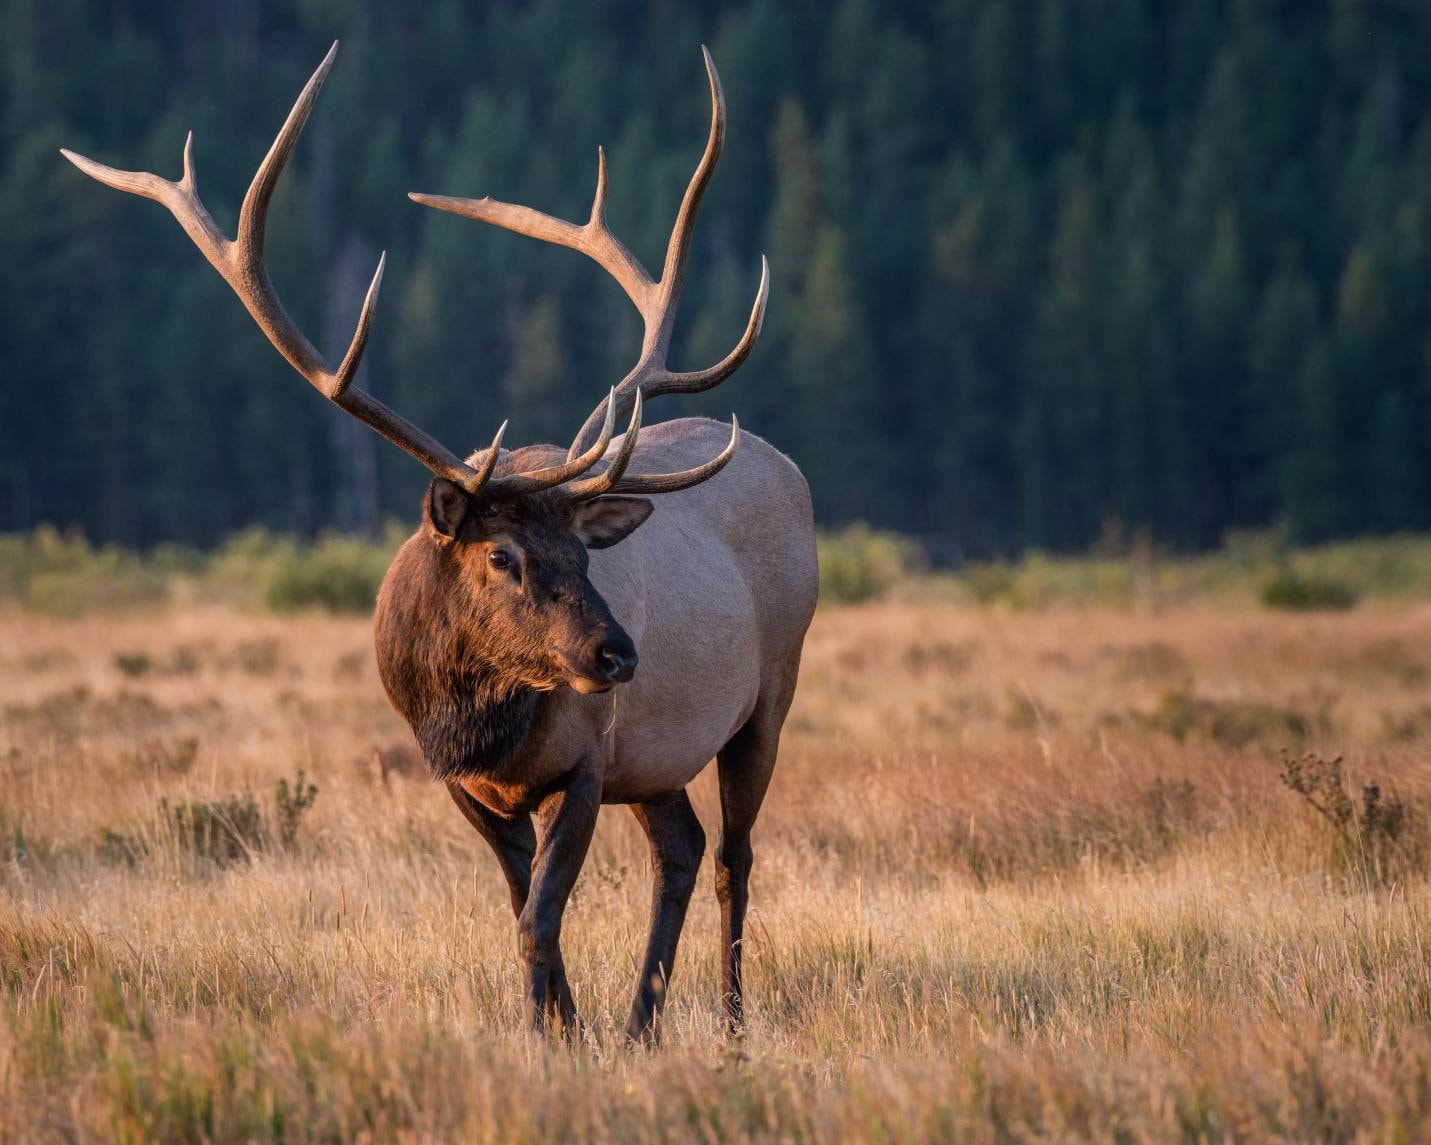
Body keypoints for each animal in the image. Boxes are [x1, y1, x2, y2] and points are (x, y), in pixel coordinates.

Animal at [62, 42, 817, 1041]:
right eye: (504, 557)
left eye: (585, 556)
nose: (616, 655)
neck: (478, 717)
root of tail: (789, 468)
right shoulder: (460, 780)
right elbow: (520, 906)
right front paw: (563, 1029)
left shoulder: (587, 760)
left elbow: (540, 913)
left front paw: (551, 1035)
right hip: (660, 758)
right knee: (684, 848)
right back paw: (638, 1023)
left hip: (767, 695)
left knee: (734, 854)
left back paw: (728, 1023)